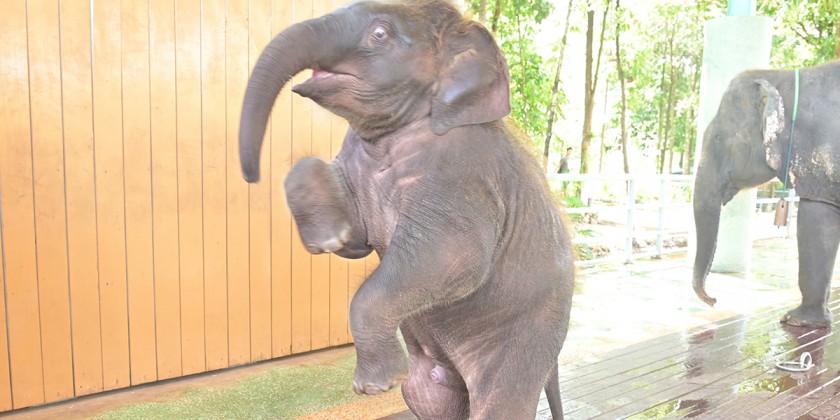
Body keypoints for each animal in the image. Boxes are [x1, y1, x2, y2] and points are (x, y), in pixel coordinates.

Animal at [238, 0, 574, 418]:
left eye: (379, 34)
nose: (250, 176)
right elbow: (356, 239)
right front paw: (328, 239)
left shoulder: (462, 169)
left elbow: (455, 258)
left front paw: (375, 386)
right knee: (427, 395)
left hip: (527, 334)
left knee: (498, 402)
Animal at [693, 60, 840, 329]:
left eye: (718, 137)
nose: (713, 300)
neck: (782, 76)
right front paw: (807, 321)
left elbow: (815, 221)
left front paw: (795, 320)